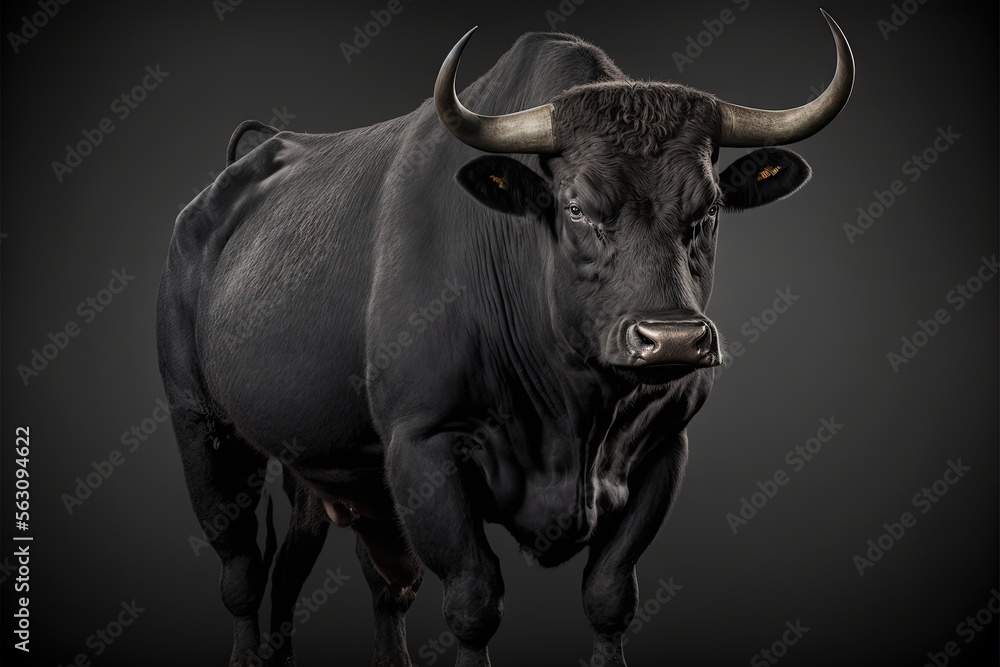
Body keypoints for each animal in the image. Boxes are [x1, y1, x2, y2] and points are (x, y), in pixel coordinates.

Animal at [157, 11, 853, 667]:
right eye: (576, 208)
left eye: (707, 210)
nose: (673, 339)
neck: (575, 421)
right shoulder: (423, 444)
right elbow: (473, 602)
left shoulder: (664, 445)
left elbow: (609, 596)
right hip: (203, 430)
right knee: (244, 572)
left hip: (322, 465)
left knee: (335, 577)